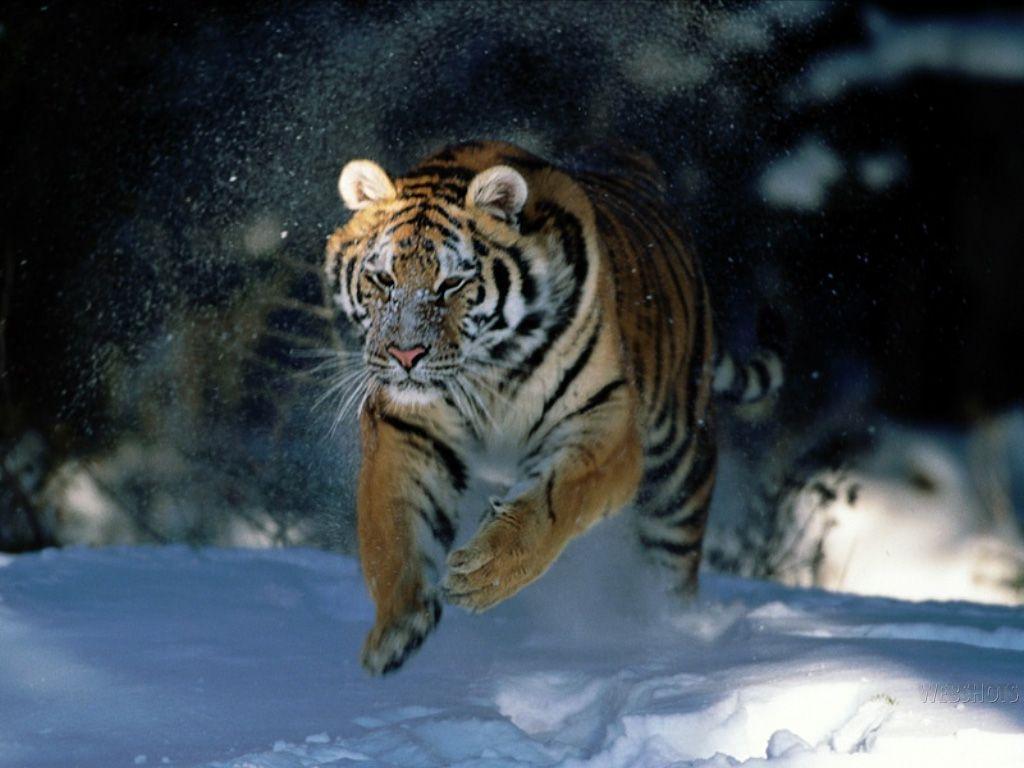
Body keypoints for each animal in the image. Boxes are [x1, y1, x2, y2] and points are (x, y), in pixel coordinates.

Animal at [323, 140, 783, 675]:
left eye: (452, 284)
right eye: (382, 278)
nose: (405, 355)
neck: (490, 368)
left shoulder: (604, 420)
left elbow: (555, 501)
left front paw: (485, 574)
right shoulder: (407, 425)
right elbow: (392, 524)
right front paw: (397, 626)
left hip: (679, 474)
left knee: (672, 571)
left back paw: (672, 637)